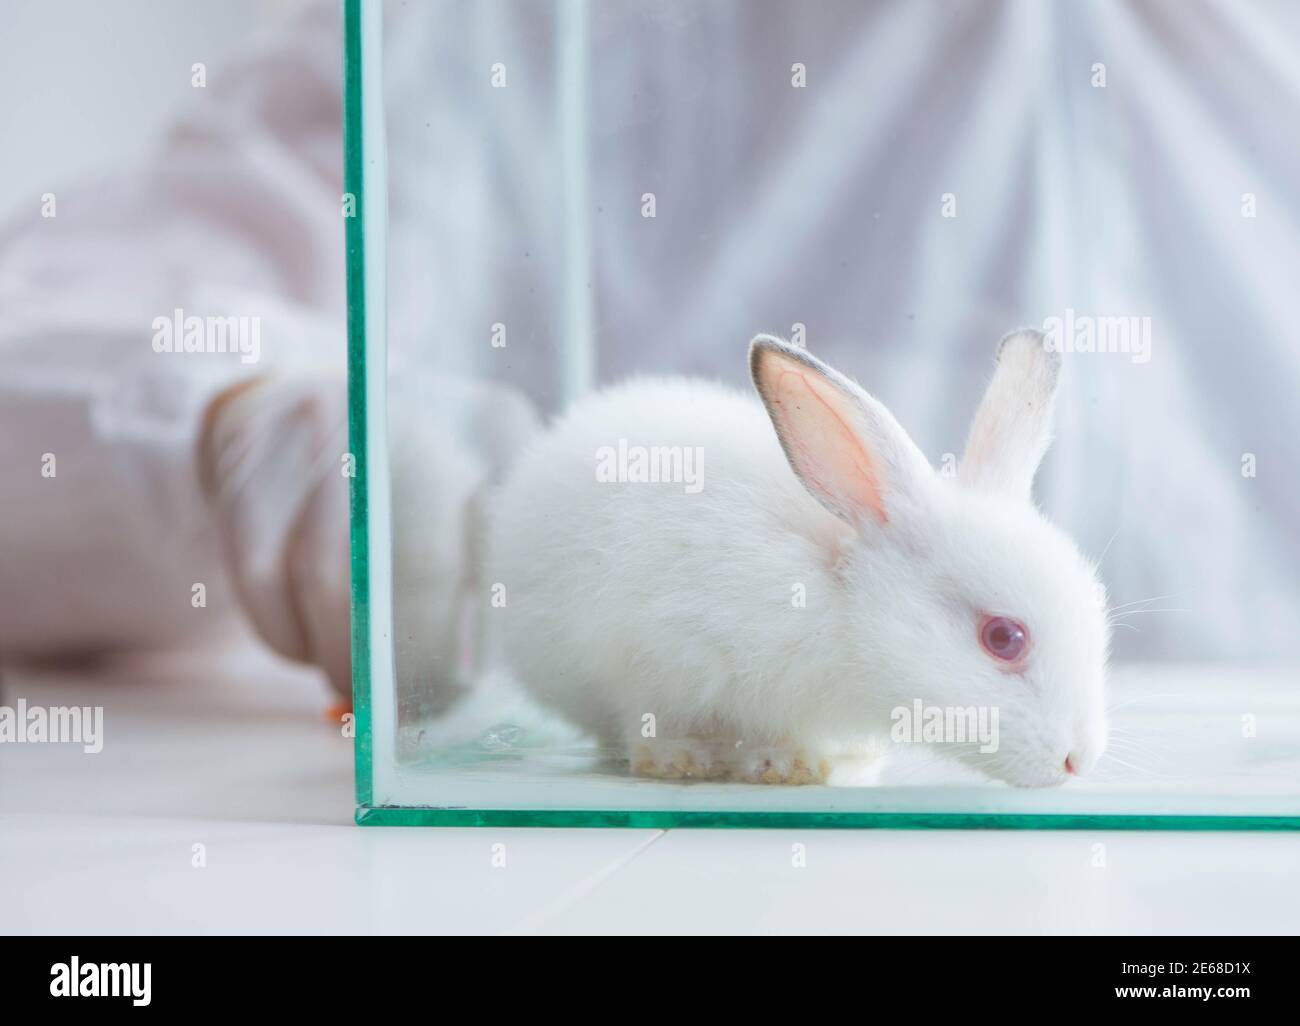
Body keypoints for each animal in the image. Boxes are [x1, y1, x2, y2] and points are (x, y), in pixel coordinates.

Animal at [483, 330, 1109, 787]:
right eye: (1003, 638)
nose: (1078, 761)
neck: (839, 604)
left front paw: (830, 762)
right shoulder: (651, 651)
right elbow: (656, 719)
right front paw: (709, 763)